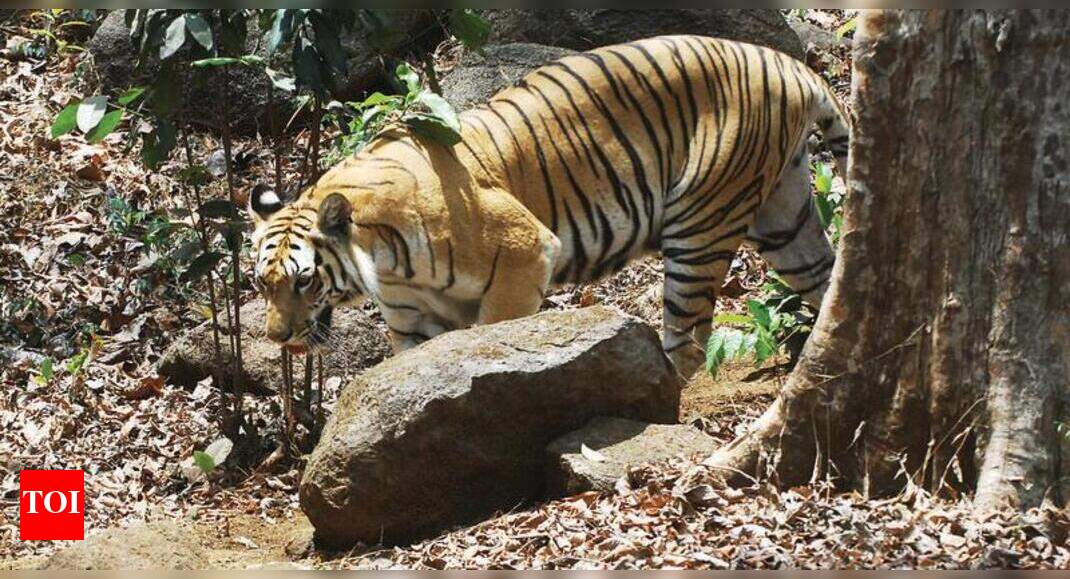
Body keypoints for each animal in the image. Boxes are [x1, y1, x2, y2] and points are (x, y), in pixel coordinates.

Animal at [248, 35, 850, 377]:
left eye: (304, 280)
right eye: (261, 283)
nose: (278, 338)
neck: (385, 261)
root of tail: (791, 65)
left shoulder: (522, 253)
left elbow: (490, 337)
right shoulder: (414, 319)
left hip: (701, 223)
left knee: (688, 336)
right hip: (784, 217)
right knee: (829, 280)